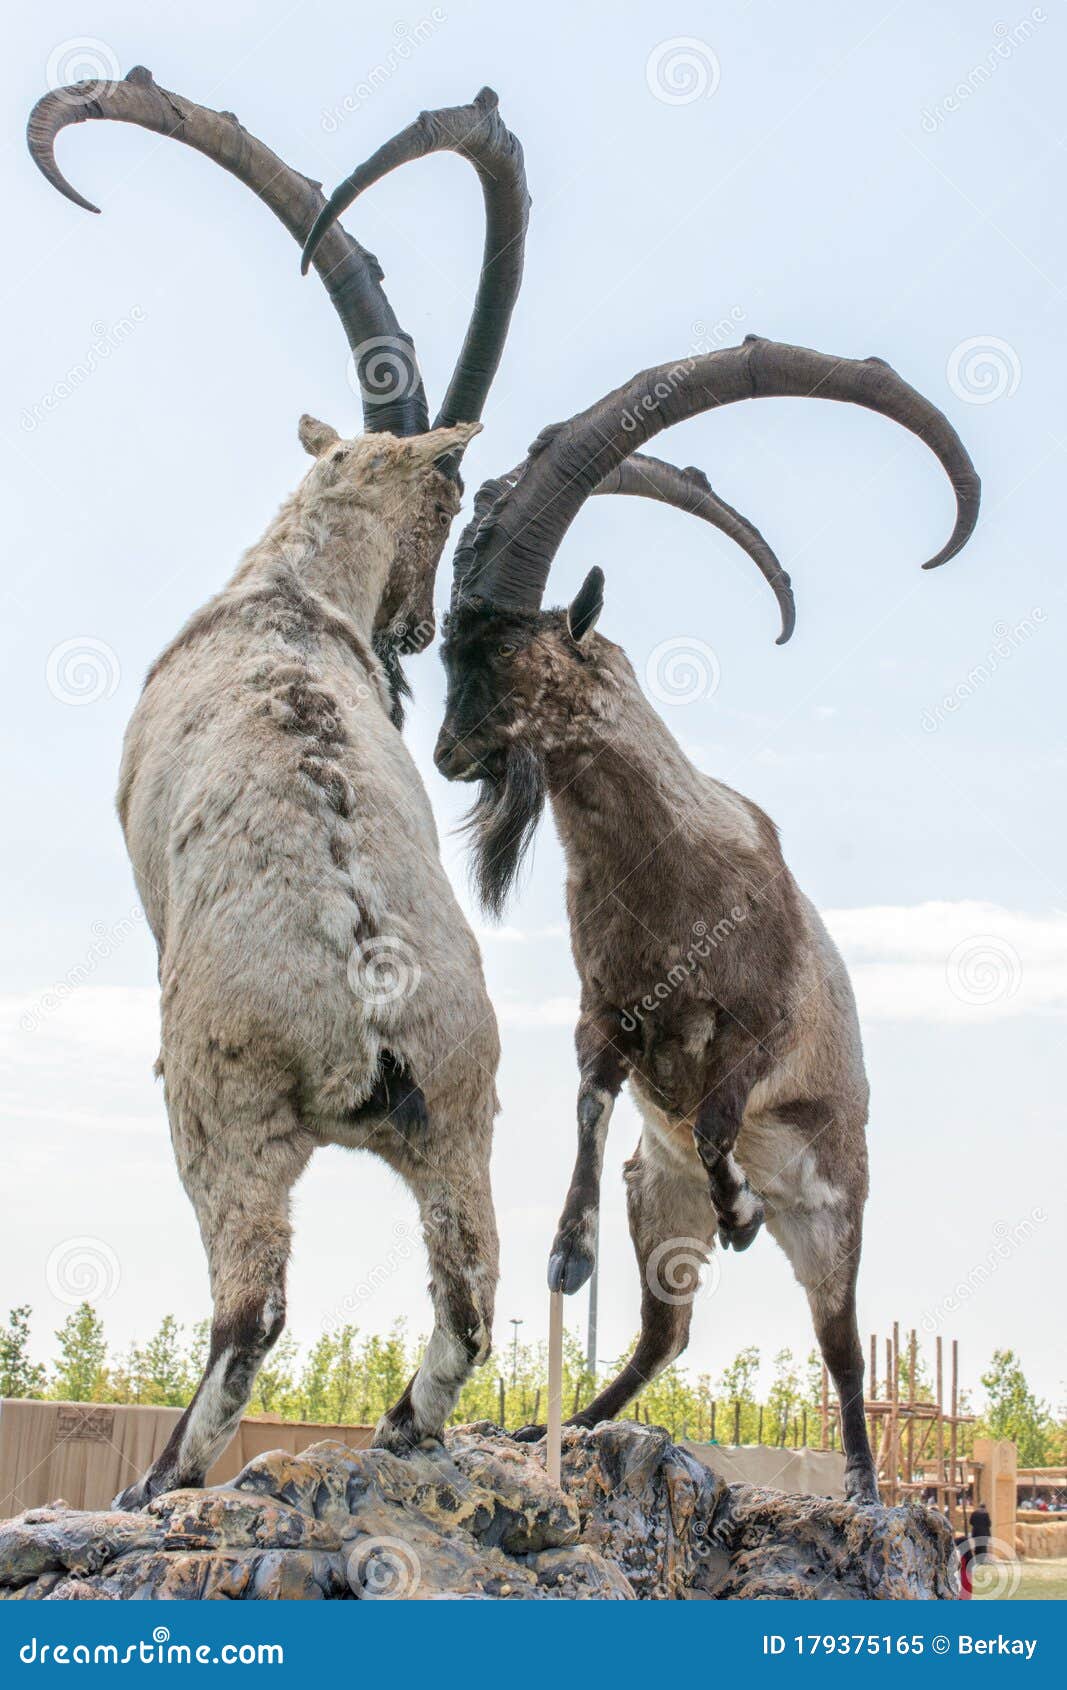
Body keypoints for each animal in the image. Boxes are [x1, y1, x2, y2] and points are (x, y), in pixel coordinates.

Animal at [28, 69, 530, 1503]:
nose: (413, 626)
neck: (288, 597)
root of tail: (369, 994)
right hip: (464, 1118)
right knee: (468, 1298)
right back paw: (402, 1429)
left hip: (228, 1114)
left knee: (251, 1305)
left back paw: (159, 1480)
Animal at [435, 335, 980, 1502]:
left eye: (505, 652)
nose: (450, 753)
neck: (672, 879)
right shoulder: (605, 1015)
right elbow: (591, 1099)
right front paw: (566, 1249)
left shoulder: (763, 1026)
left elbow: (726, 1108)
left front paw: (737, 1211)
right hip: (658, 1200)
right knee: (663, 1332)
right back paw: (555, 1425)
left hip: (835, 1214)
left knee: (840, 1347)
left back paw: (862, 1481)